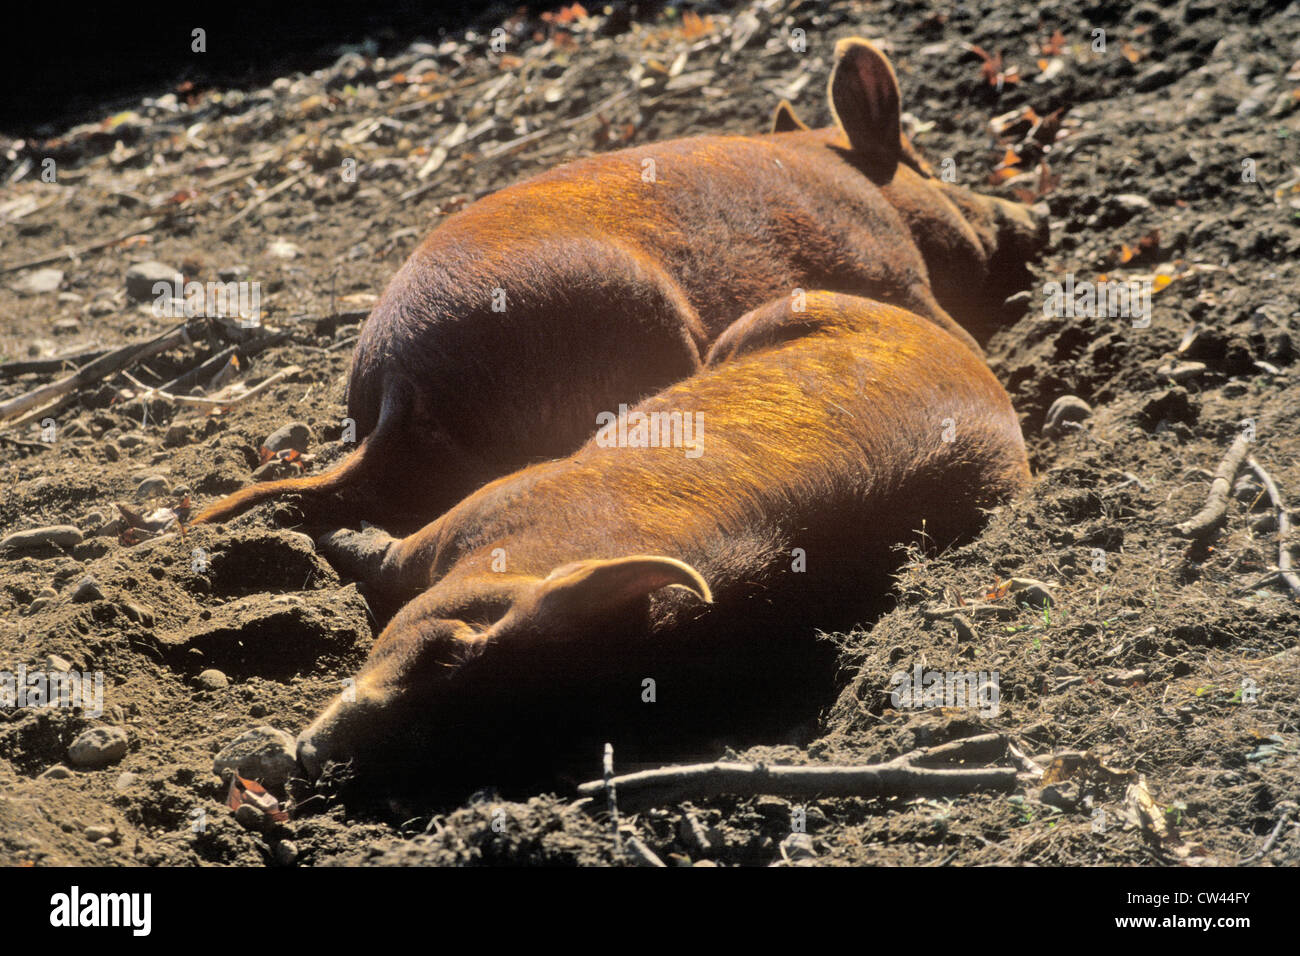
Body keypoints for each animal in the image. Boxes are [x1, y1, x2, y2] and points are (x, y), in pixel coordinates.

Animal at [192, 38, 1047, 534]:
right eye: (932, 169)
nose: (1032, 217)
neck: (866, 187)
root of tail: (398, 381)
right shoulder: (894, 273)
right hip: (638, 324)